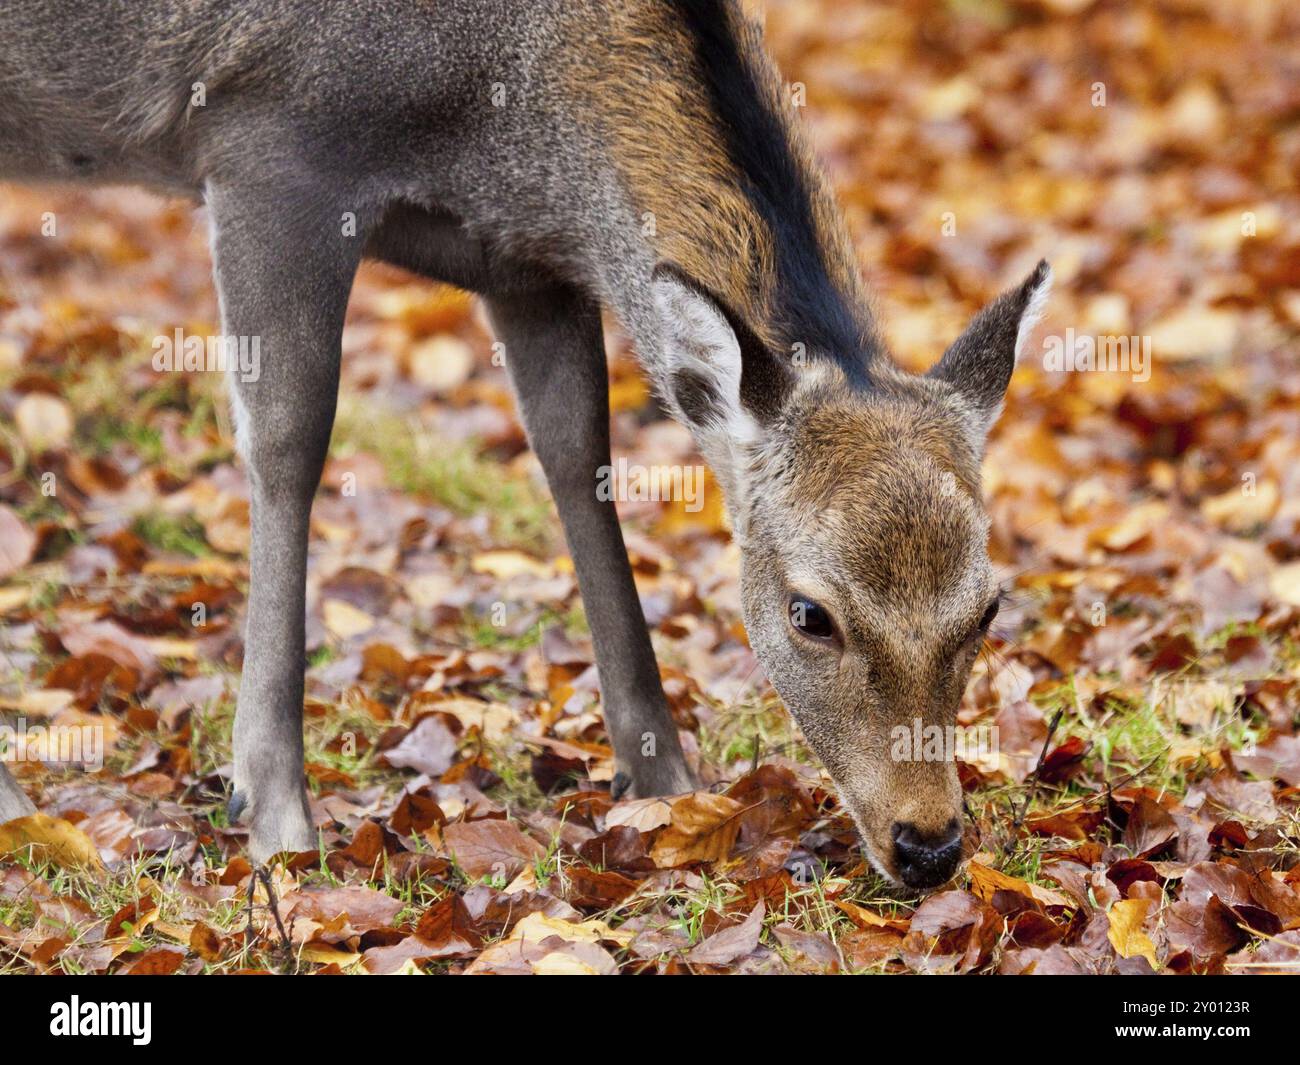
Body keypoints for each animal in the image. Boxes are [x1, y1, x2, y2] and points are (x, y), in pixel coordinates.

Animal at [0, 0, 1050, 891]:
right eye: (810, 613)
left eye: (989, 606)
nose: (929, 844)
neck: (516, 141)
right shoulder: (267, 143)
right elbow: (289, 441)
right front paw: (276, 817)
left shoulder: (525, 267)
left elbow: (577, 456)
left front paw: (663, 779)